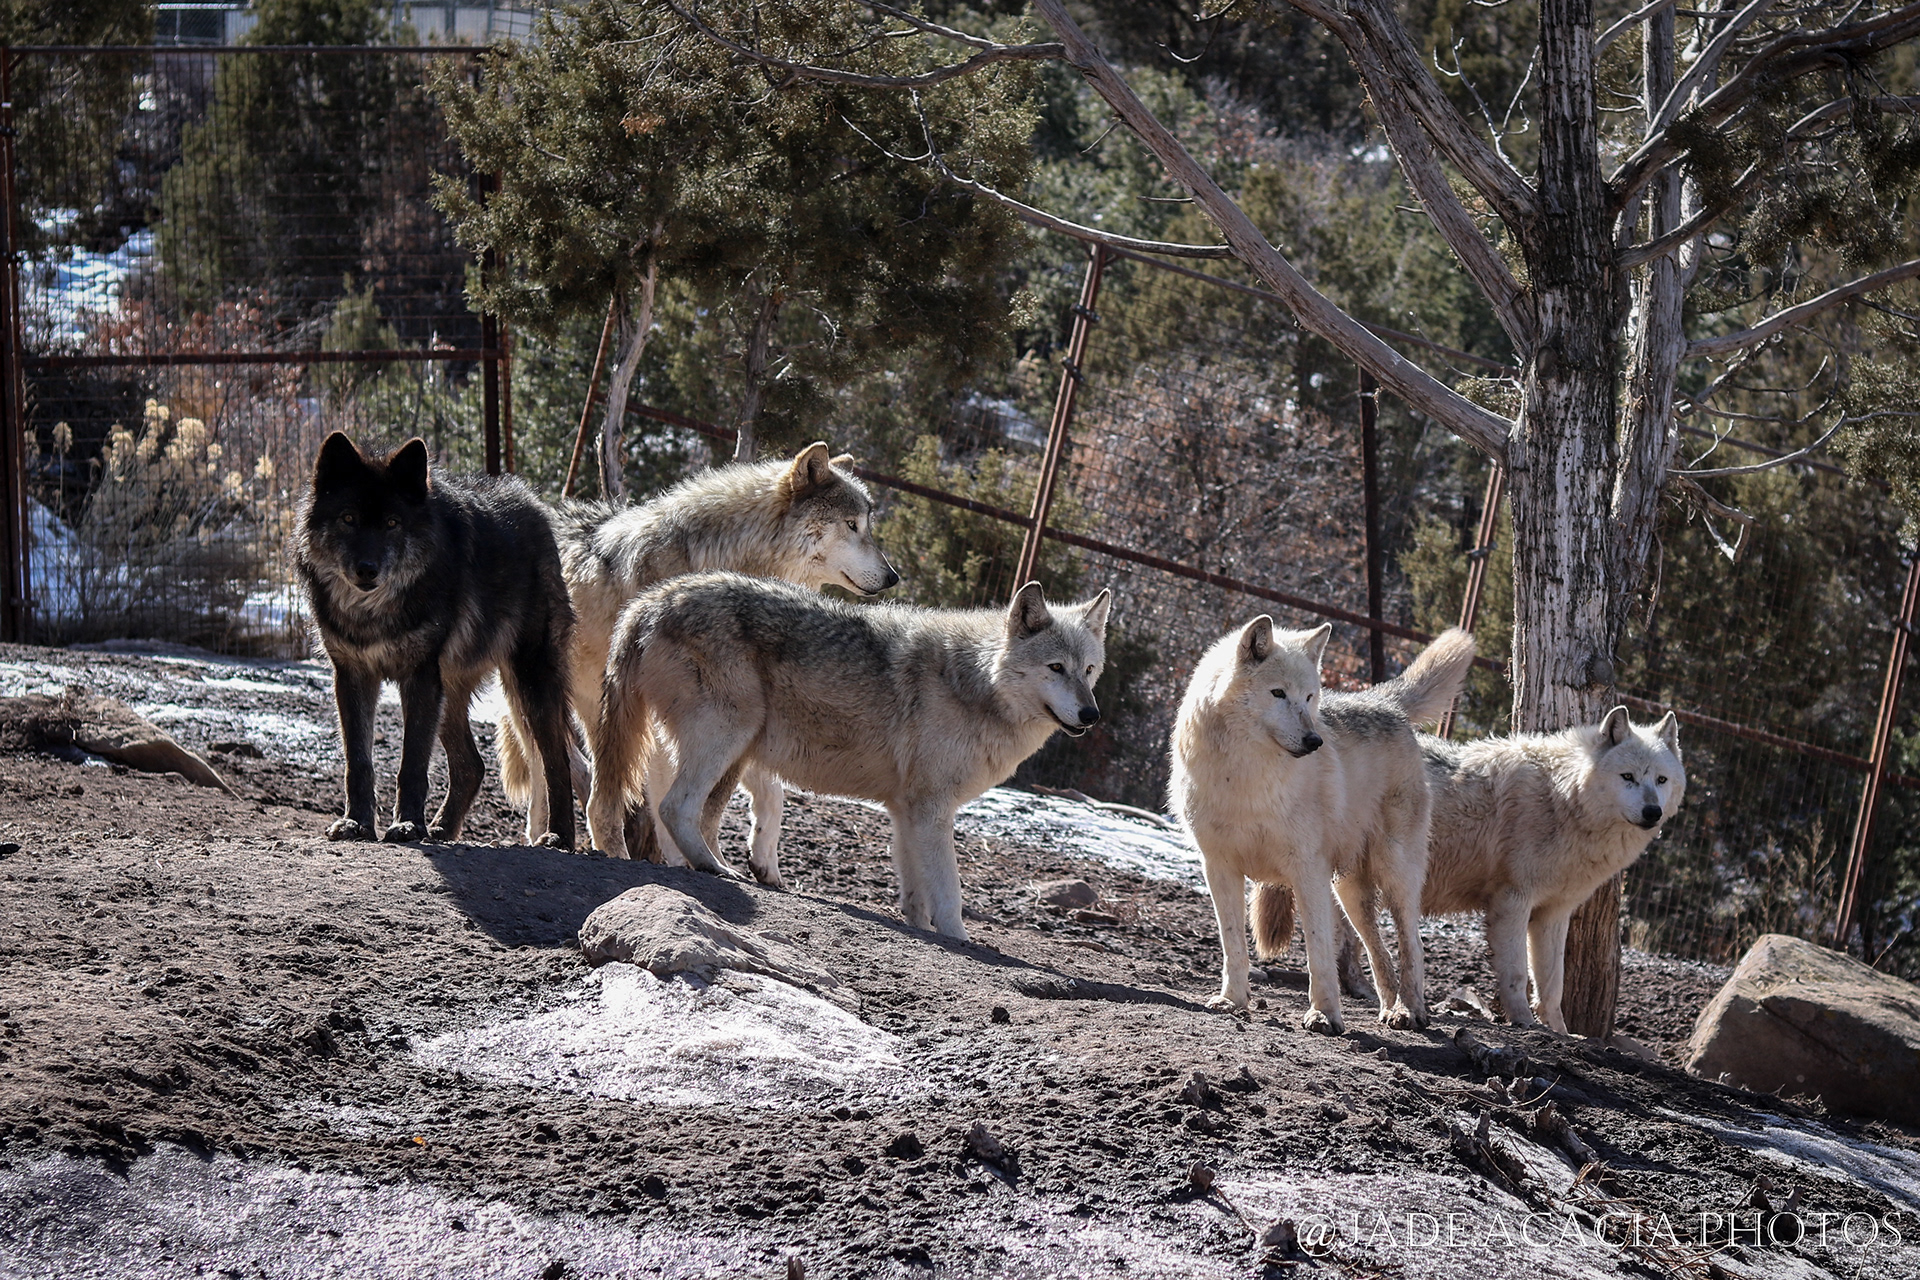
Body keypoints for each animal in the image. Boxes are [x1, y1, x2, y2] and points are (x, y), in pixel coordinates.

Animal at [294, 432, 576, 848]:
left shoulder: (419, 677)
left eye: (393, 523)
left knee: (558, 760)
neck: (372, 614)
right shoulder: (351, 676)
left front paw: (408, 826)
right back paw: (443, 829)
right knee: (472, 765)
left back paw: (559, 837)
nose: (367, 570)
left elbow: (411, 763)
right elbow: (358, 762)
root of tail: (535, 505)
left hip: (528, 684)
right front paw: (356, 824)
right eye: (348, 519)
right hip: (450, 693)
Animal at [495, 442, 898, 855]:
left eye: (866, 525)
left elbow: (761, 794)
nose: (893, 577)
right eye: (851, 525)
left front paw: (758, 859)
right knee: (564, 774)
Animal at [585, 573, 1112, 939]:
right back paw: (716, 869)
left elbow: (917, 894)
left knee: (676, 814)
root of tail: (648, 600)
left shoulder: (907, 813)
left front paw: (922, 931)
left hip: (728, 751)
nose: (1091, 714)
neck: (975, 683)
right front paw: (961, 940)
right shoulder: (931, 811)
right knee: (675, 807)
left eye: (1088, 670)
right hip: (730, 736)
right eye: (1056, 668)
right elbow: (950, 894)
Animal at [1171, 620, 1476, 1034]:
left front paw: (1324, 1015)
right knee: (1377, 951)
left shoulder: (1307, 869)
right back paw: (1387, 1008)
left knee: (1412, 945)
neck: (1246, 777)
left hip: (1394, 873)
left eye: (1309, 696)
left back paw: (1409, 1011)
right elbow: (1233, 944)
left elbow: (1318, 951)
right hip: (1349, 891)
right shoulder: (1218, 867)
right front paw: (1232, 1001)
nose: (1314, 740)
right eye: (1278, 693)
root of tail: (1386, 703)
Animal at [1419, 707, 1685, 1032]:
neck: (1562, 801)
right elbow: (1517, 975)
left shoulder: (1553, 912)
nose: (1652, 812)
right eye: (1627, 777)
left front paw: (1560, 1032)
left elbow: (1552, 985)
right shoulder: (1512, 901)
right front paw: (1523, 1022)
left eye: (1661, 780)